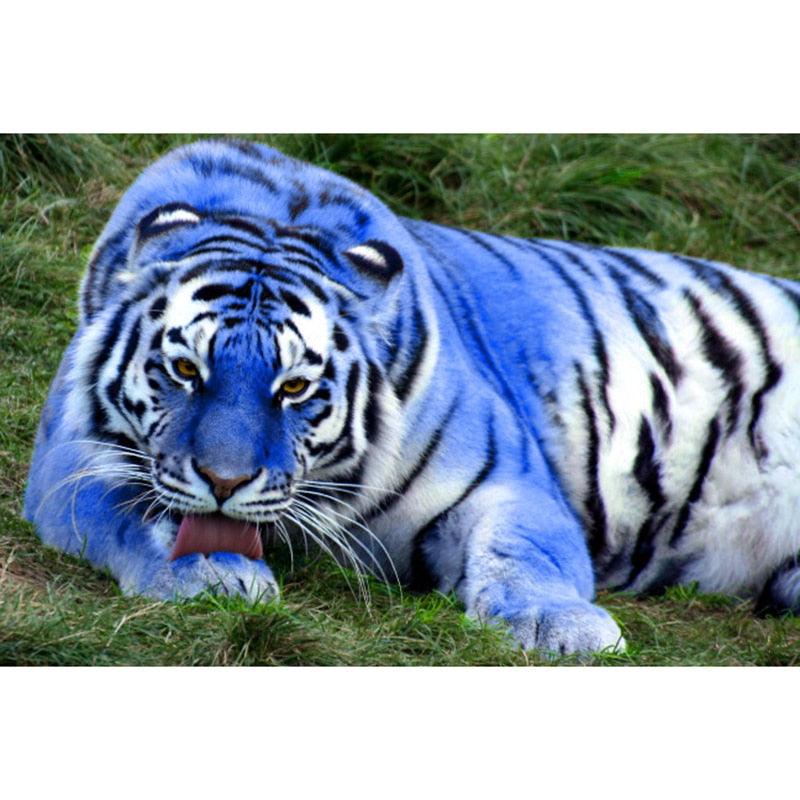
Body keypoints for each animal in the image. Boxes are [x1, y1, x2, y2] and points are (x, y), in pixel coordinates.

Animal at [23, 138, 800, 656]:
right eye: (186, 371)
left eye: (294, 387)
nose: (224, 482)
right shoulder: (70, 458)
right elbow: (129, 514)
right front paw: (213, 572)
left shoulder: (506, 479)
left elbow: (526, 551)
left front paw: (561, 626)